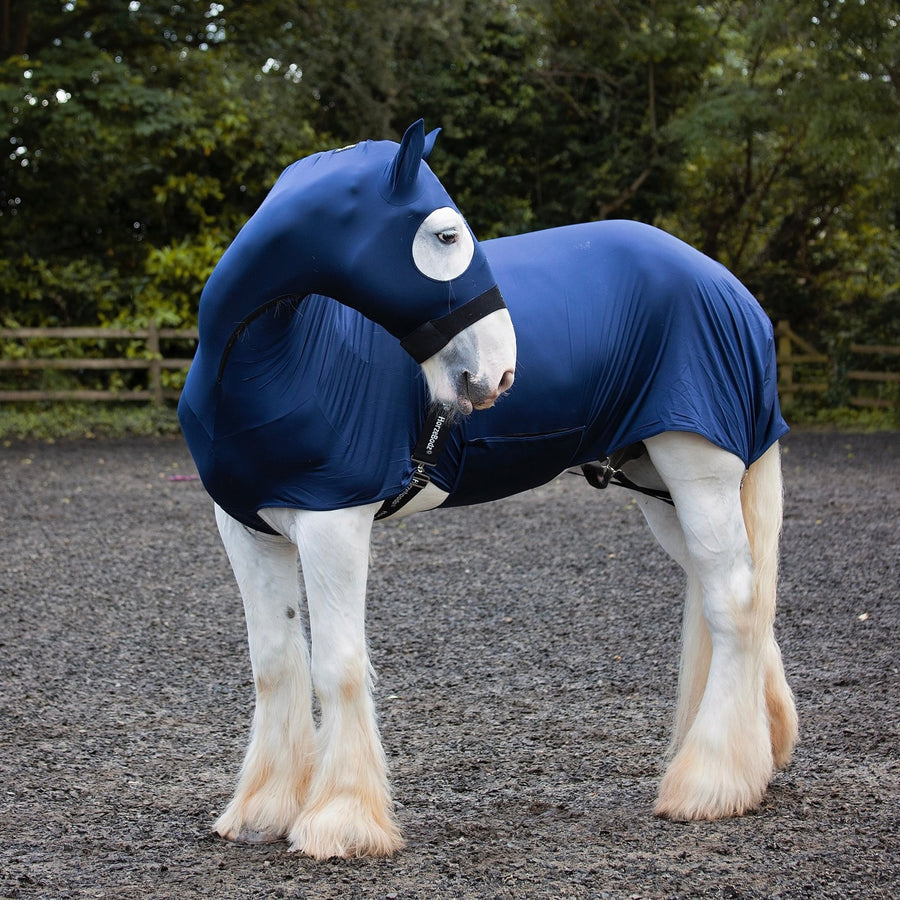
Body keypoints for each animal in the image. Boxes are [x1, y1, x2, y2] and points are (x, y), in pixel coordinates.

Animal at [178, 120, 798, 860]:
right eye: (447, 236)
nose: (500, 373)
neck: (271, 356)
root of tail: (727, 286)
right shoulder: (247, 528)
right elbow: (275, 662)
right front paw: (263, 809)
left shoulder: (334, 522)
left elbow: (338, 663)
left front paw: (340, 820)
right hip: (659, 487)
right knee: (732, 593)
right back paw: (760, 754)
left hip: (698, 470)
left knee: (734, 601)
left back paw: (711, 782)